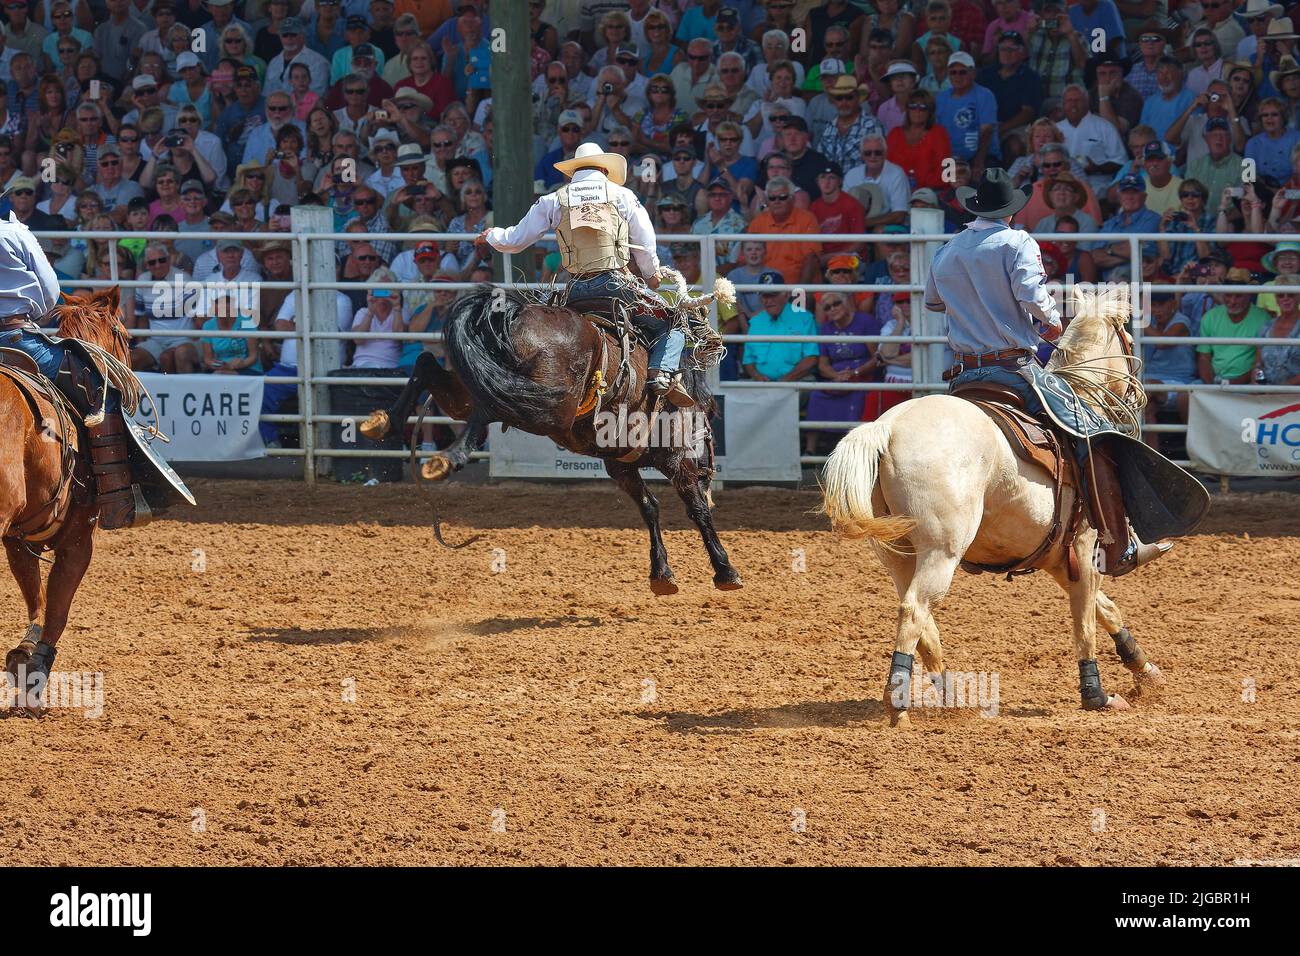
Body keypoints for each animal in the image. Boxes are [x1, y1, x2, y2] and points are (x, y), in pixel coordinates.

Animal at [1, 287, 132, 712]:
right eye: (125, 337)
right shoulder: (78, 539)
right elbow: (58, 608)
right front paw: (33, 676)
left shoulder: (16, 539)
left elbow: (37, 597)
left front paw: (23, 655)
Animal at [361, 280, 744, 595]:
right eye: (710, 423)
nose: (710, 468)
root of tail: (513, 315)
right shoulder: (675, 459)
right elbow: (695, 509)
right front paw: (726, 571)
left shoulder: (619, 466)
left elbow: (649, 506)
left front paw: (661, 574)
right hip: (547, 407)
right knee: (489, 405)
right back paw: (446, 458)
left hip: (476, 385)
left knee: (429, 365)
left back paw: (383, 423)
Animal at [819, 284, 1169, 727]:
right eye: (1130, 340)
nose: (1138, 393)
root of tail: (887, 427)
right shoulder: (1084, 550)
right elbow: (1085, 624)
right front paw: (1096, 695)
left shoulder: (1061, 559)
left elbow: (1107, 611)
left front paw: (1146, 672)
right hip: (942, 551)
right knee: (915, 610)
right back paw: (898, 707)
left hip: (898, 554)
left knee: (923, 622)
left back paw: (952, 695)